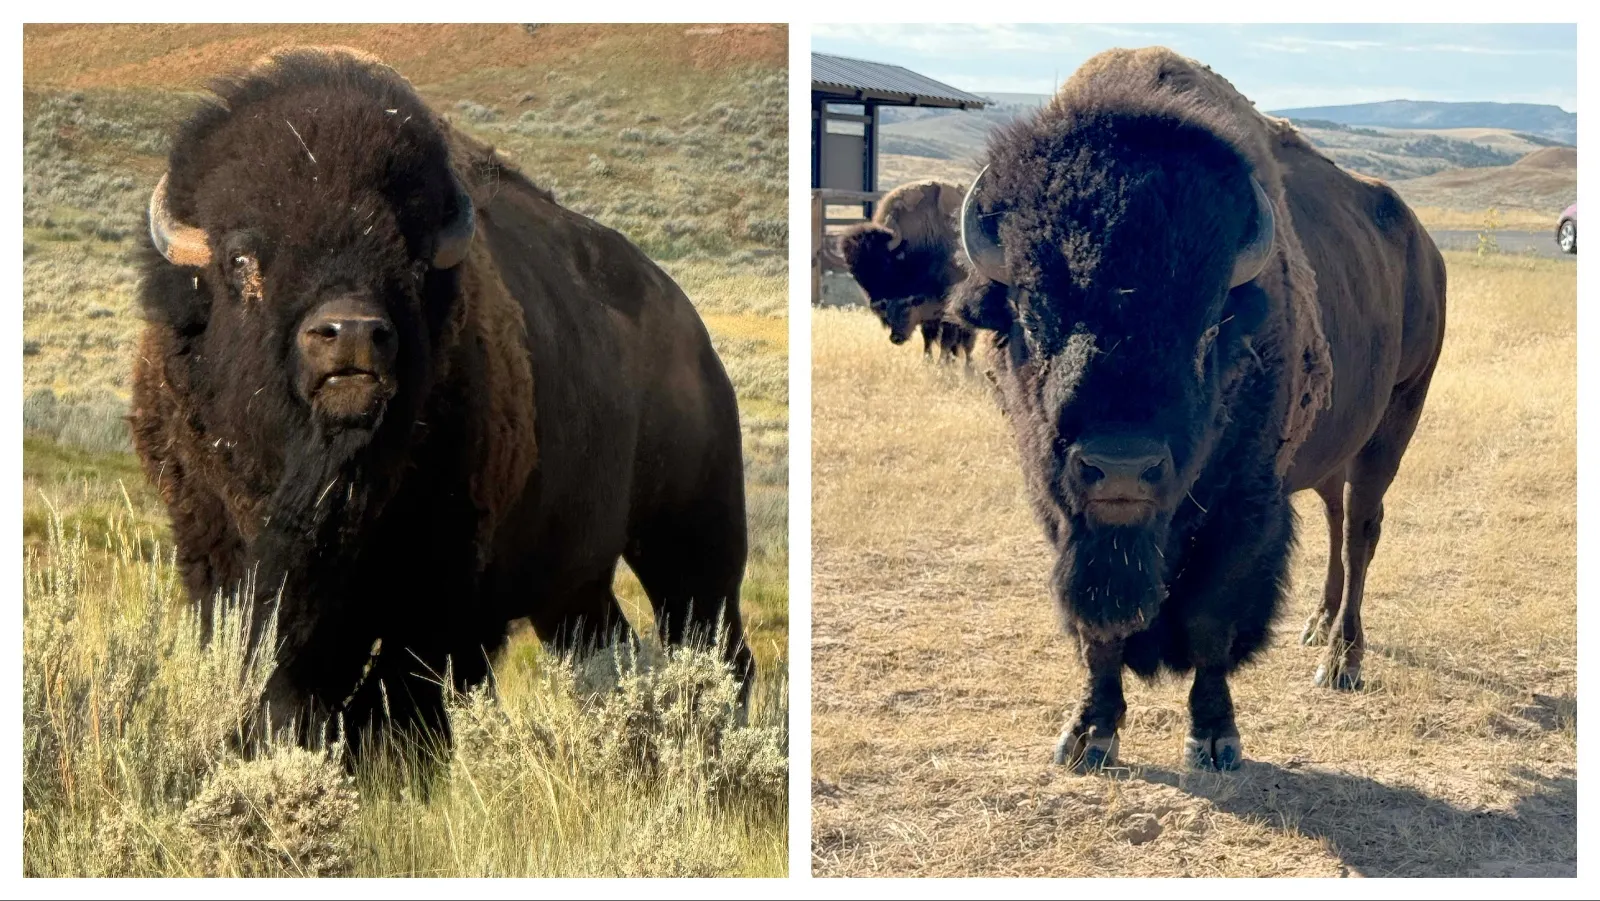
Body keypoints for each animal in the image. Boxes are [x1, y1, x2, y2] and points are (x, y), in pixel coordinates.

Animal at [130, 47, 754, 753]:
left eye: (410, 259)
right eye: (240, 259)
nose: (351, 333)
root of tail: (695, 334)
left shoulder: (440, 579)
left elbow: (400, 692)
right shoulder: (224, 558)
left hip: (692, 536)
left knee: (716, 643)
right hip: (579, 582)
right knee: (606, 642)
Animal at [839, 179, 977, 365]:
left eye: (883, 264)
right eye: (855, 273)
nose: (876, 305)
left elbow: (947, 337)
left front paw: (942, 364)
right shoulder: (928, 310)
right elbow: (928, 336)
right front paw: (927, 362)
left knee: (966, 340)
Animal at [951, 48, 1445, 772]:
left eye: (1210, 329)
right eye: (1032, 318)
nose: (1122, 468)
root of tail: (1426, 249)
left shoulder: (1243, 510)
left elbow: (1214, 618)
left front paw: (1214, 737)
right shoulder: (1064, 513)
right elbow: (1100, 628)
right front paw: (1088, 734)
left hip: (1394, 422)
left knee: (1360, 531)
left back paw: (1341, 661)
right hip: (1334, 449)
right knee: (1335, 520)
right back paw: (1316, 625)